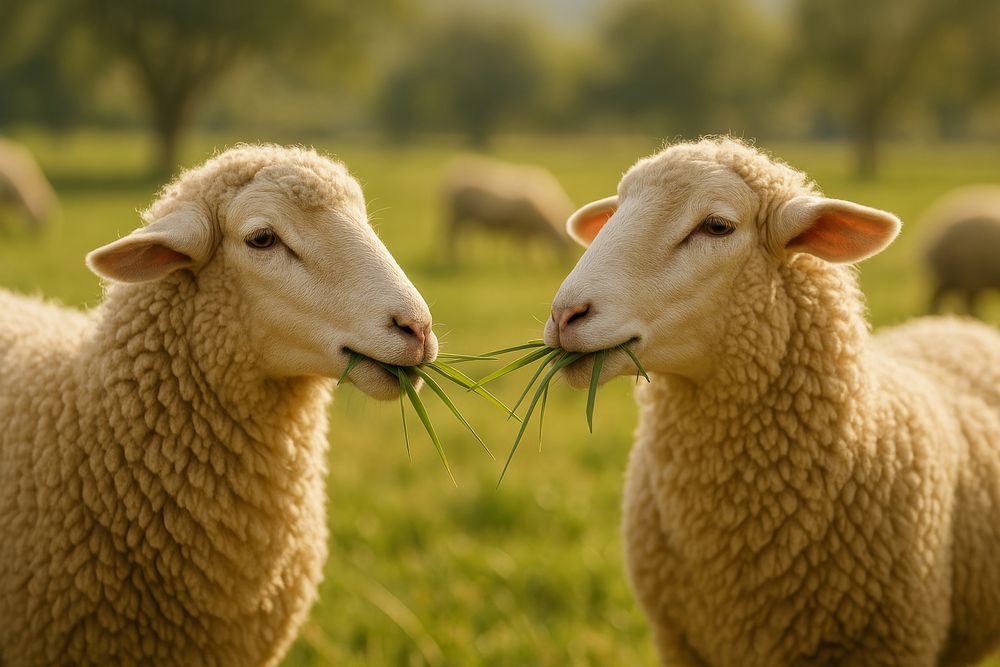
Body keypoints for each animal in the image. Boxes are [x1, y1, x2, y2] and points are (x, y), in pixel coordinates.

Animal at [441, 156, 572, 262]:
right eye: (564, 245)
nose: (563, 263)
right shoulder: (521, 226)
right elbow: (521, 245)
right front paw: (521, 261)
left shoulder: (527, 228)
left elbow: (526, 244)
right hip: (458, 214)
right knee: (451, 235)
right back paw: (453, 258)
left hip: (466, 216)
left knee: (463, 236)